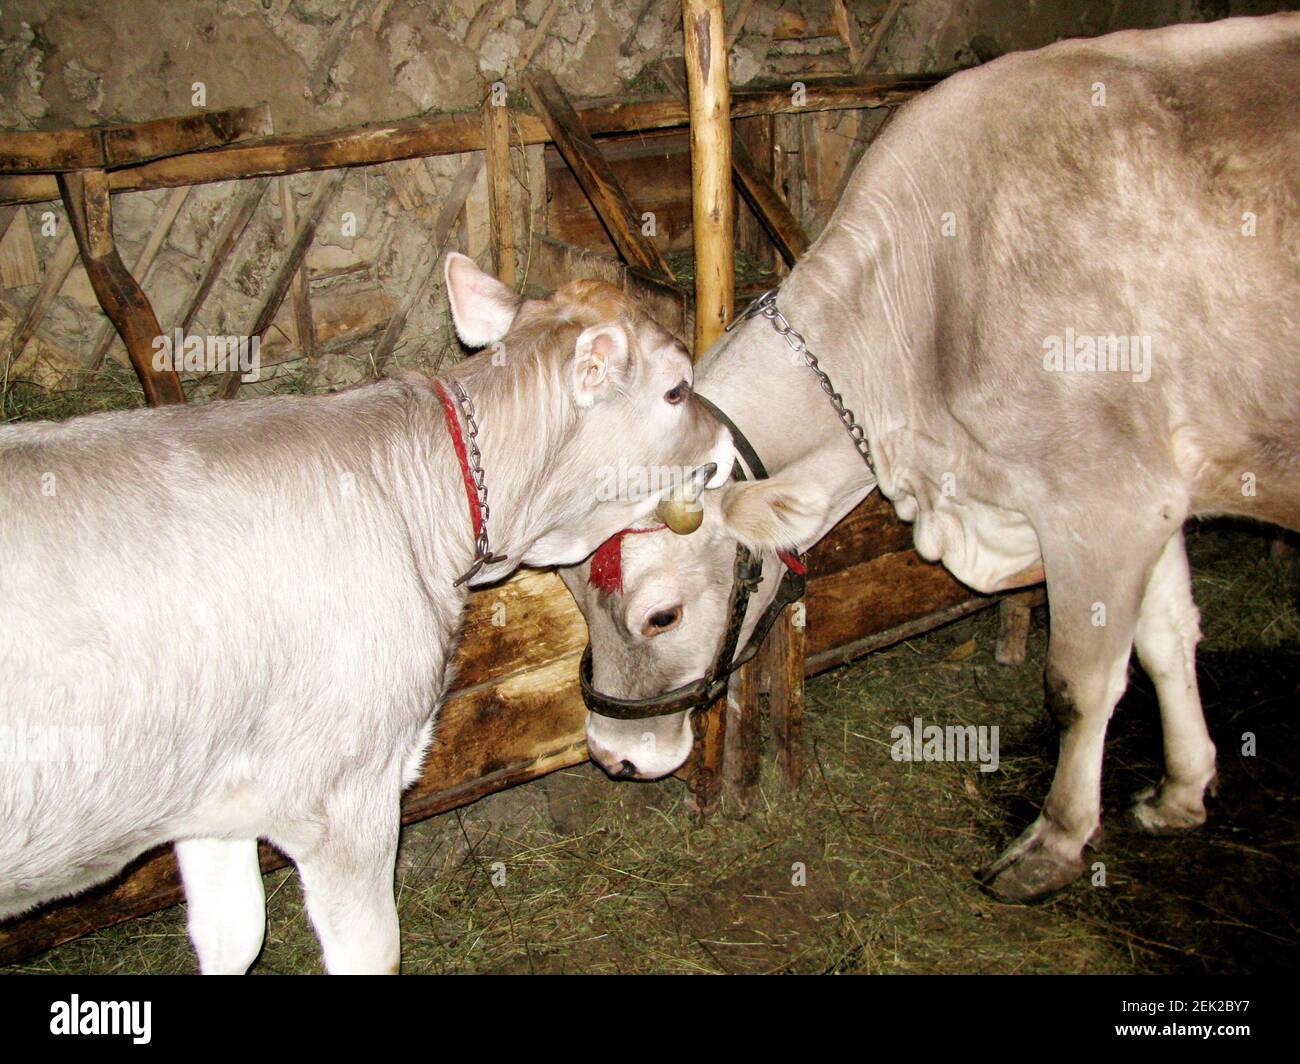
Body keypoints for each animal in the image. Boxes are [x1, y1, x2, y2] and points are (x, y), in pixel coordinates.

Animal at [0, 252, 731, 973]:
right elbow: (374, 949)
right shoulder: (347, 791)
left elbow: (233, 934)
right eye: (677, 389)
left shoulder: (209, 797)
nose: (728, 444)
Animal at [561, 14, 1300, 903]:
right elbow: (1165, 637)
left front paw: (1053, 843)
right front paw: (1183, 790)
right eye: (575, 596)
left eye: (661, 615)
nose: (612, 757)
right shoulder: (1156, 495)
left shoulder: (1102, 499)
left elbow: (1078, 684)